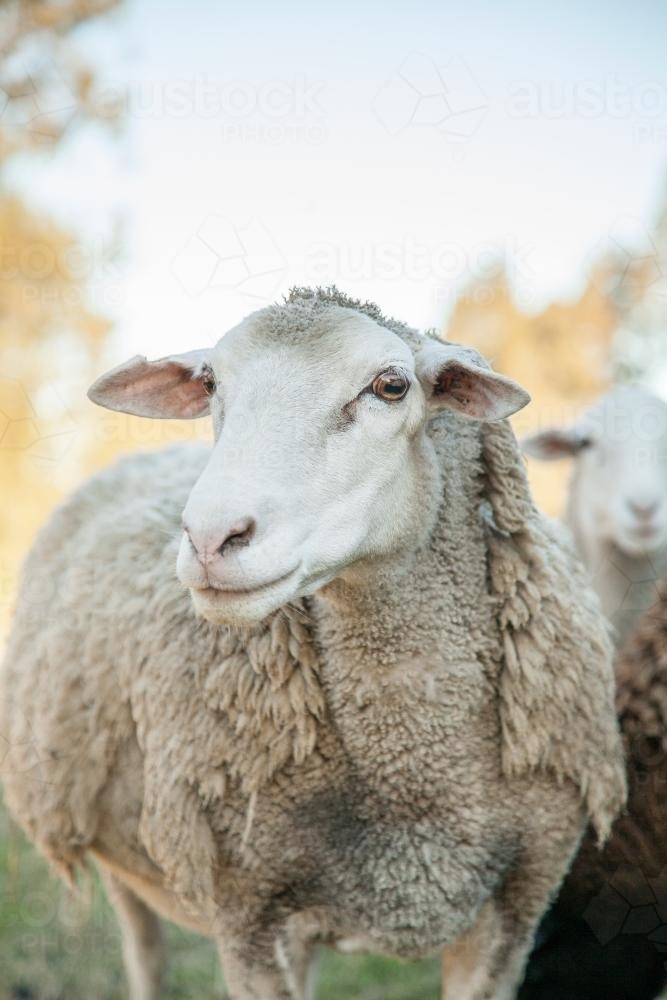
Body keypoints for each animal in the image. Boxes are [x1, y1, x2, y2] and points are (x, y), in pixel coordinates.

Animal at [0, 287, 625, 1000]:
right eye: (210, 383)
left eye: (391, 386)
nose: (211, 538)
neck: (413, 779)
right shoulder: (247, 915)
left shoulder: (513, 913)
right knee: (145, 952)